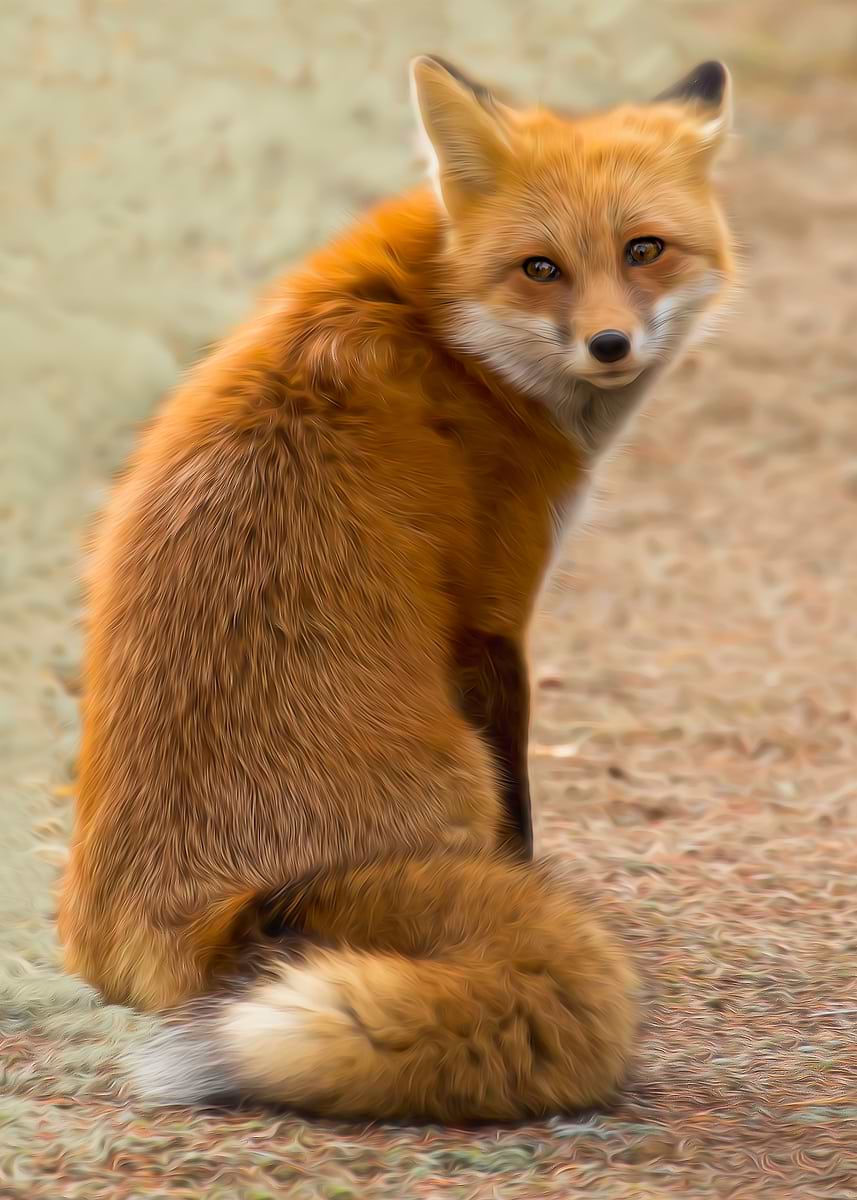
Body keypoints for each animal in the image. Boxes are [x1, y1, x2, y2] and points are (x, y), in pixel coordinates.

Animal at [58, 56, 735, 1121]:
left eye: (644, 251)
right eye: (540, 267)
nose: (609, 345)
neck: (445, 320)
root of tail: (194, 919)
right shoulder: (495, 615)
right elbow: (525, 824)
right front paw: (542, 886)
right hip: (460, 772)